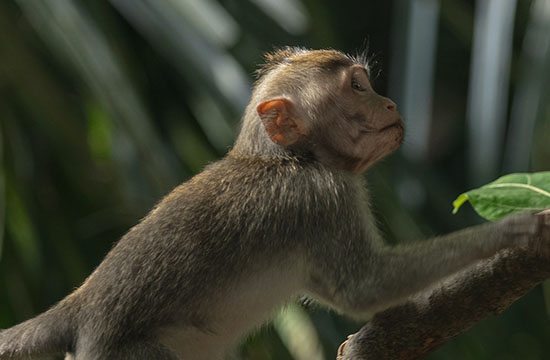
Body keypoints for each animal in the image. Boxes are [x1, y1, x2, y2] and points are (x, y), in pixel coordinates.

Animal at [1, 47, 550, 360]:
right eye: (358, 87)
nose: (389, 103)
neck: (289, 157)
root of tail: (82, 307)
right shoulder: (322, 197)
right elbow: (364, 287)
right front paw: (514, 229)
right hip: (128, 355)